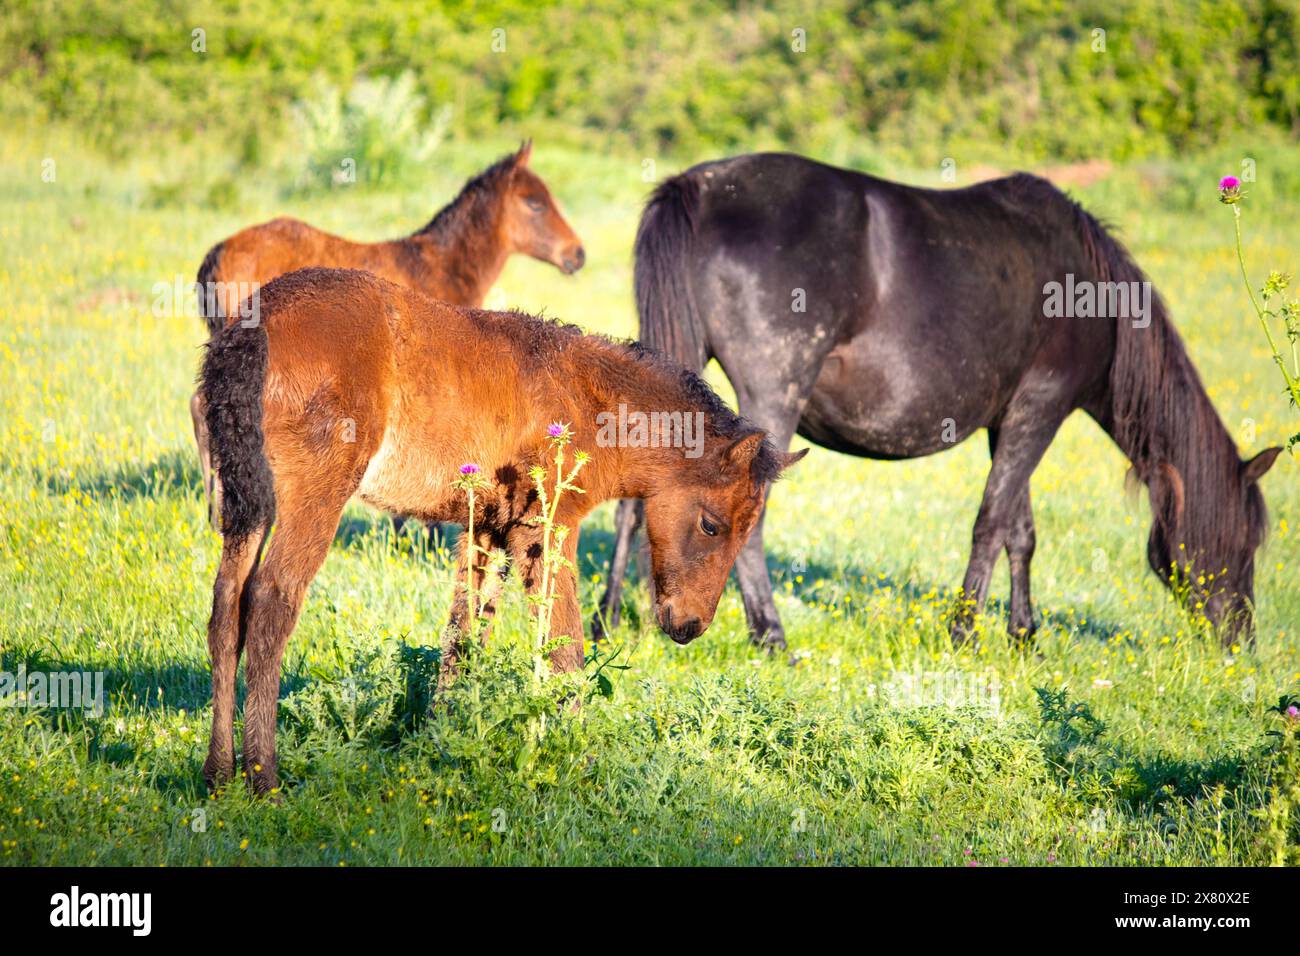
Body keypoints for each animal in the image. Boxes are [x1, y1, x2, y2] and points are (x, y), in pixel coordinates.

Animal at [199, 267, 803, 794]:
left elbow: (463, 638)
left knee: (227, 608)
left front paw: (442, 743)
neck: (587, 396)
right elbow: (565, 648)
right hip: (315, 496)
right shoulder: (547, 528)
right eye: (711, 525)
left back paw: (218, 775)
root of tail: (257, 319)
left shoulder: (487, 529)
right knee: (271, 601)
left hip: (248, 504)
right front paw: (576, 757)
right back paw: (264, 778)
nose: (689, 626)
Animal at [596, 153, 1281, 651]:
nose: (1243, 641)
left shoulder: (1008, 418)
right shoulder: (1041, 407)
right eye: (1246, 539)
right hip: (772, 396)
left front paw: (1024, 635)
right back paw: (770, 636)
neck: (1094, 298)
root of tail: (700, 187)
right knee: (747, 517)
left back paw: (610, 620)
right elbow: (991, 523)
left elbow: (1019, 530)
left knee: (636, 502)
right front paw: (964, 633)